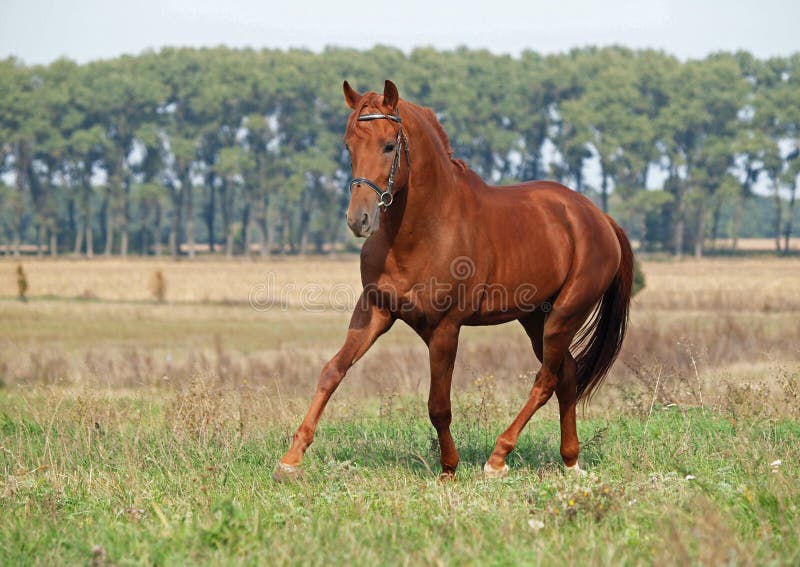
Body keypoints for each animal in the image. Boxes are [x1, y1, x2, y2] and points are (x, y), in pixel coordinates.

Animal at [274, 80, 633, 481]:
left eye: (388, 145)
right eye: (348, 144)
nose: (359, 219)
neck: (422, 230)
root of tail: (598, 217)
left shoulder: (445, 328)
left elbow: (438, 405)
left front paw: (449, 467)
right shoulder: (375, 312)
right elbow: (332, 371)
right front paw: (290, 459)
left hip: (563, 317)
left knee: (546, 380)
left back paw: (498, 457)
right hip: (535, 318)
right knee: (567, 374)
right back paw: (570, 461)